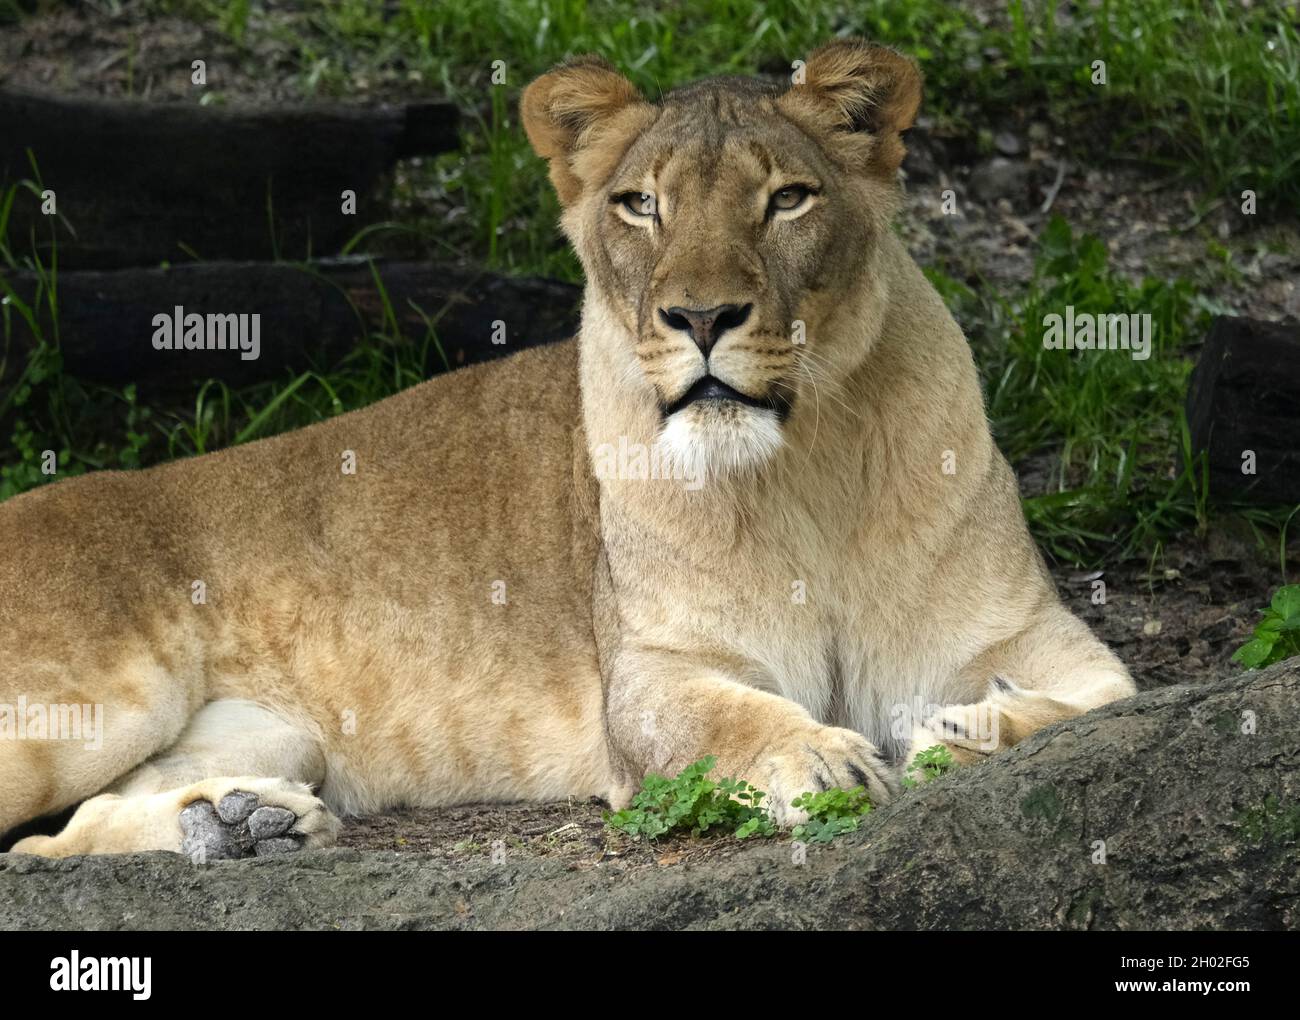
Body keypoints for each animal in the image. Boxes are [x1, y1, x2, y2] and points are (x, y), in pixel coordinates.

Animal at [0, 40, 1133, 858]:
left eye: (787, 198)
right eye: (640, 205)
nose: (702, 317)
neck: (802, 462)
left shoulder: (1019, 634)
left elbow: (1106, 699)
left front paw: (970, 731)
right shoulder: (652, 673)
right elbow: (730, 725)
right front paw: (824, 765)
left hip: (266, 728)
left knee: (59, 839)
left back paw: (240, 823)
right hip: (93, 705)